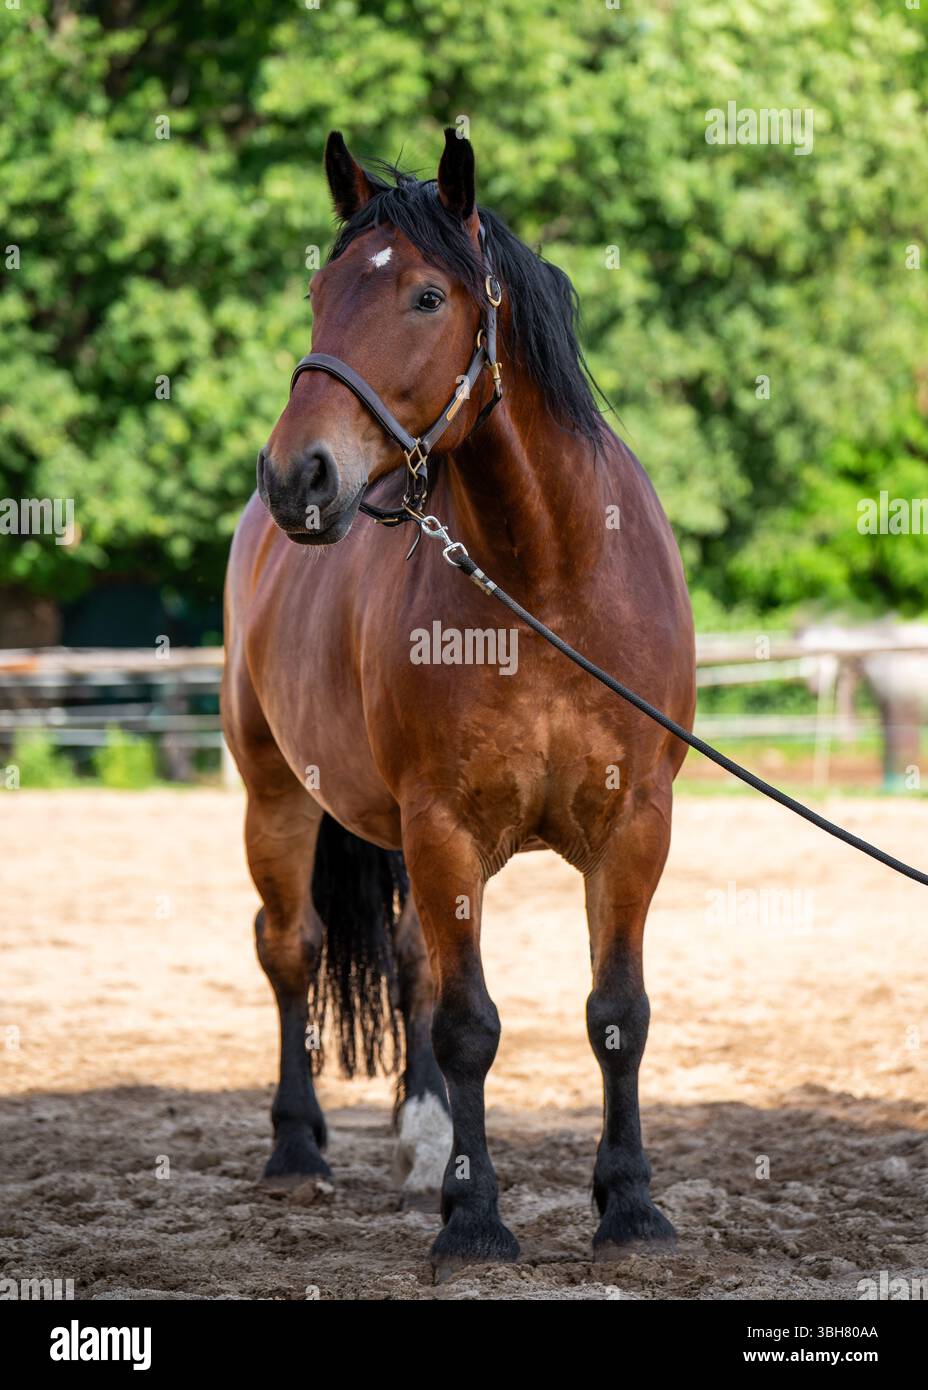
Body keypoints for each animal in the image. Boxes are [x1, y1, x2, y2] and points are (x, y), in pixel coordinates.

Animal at [221, 128, 696, 1277]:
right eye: (319, 291)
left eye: (427, 297)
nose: (297, 477)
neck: (548, 581)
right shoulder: (443, 827)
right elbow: (470, 1024)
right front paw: (476, 1221)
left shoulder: (636, 826)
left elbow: (616, 1014)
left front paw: (629, 1206)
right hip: (276, 797)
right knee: (291, 949)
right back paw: (298, 1151)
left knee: (410, 968)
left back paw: (426, 1141)